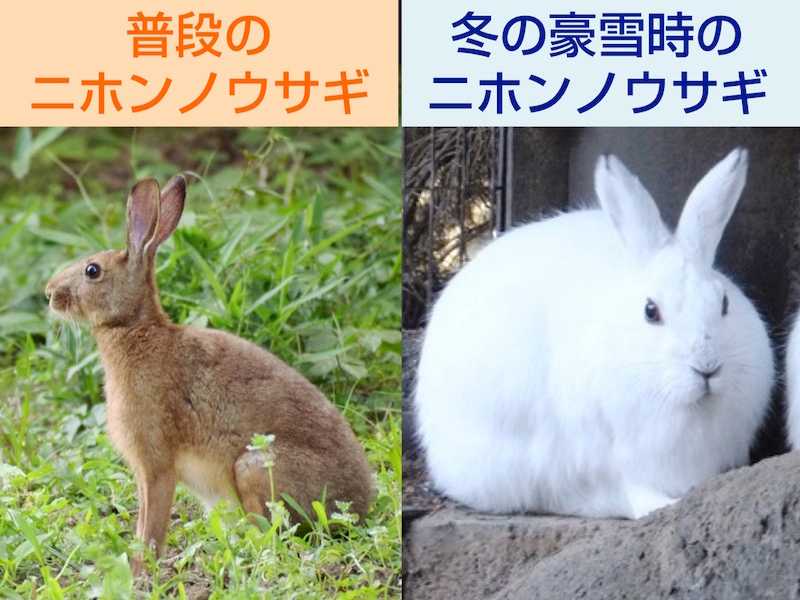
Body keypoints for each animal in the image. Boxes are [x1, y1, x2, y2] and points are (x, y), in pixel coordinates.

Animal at [45, 175, 374, 564]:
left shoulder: (156, 464)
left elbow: (151, 523)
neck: (134, 328)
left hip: (253, 468)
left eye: (92, 271)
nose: (49, 293)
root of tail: (358, 507)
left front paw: (143, 566)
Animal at [414, 148, 773, 520]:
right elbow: (631, 489)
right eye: (650, 311)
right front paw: (664, 506)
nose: (707, 367)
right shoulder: (607, 456)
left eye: (724, 303)